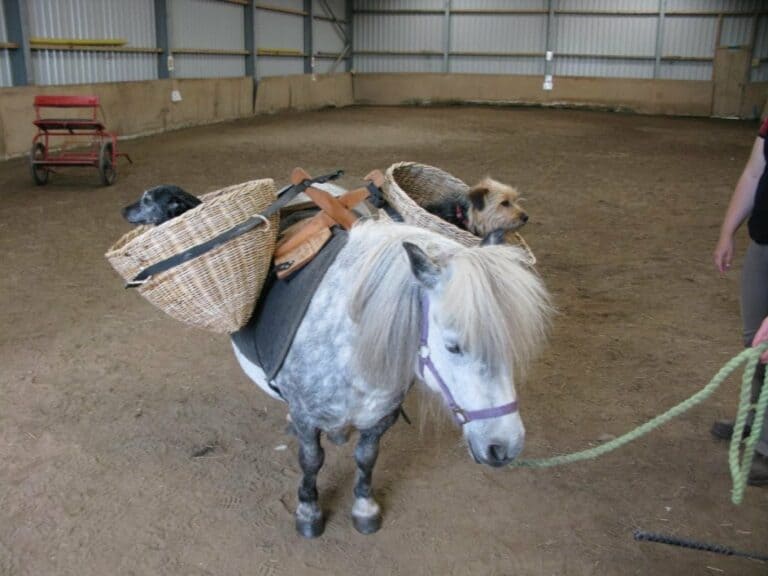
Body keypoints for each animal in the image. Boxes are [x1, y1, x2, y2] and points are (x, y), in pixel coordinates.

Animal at [231, 219, 552, 538]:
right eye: (453, 346)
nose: (506, 447)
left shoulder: (380, 417)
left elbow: (366, 457)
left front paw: (365, 508)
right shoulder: (307, 418)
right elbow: (311, 461)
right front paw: (308, 512)